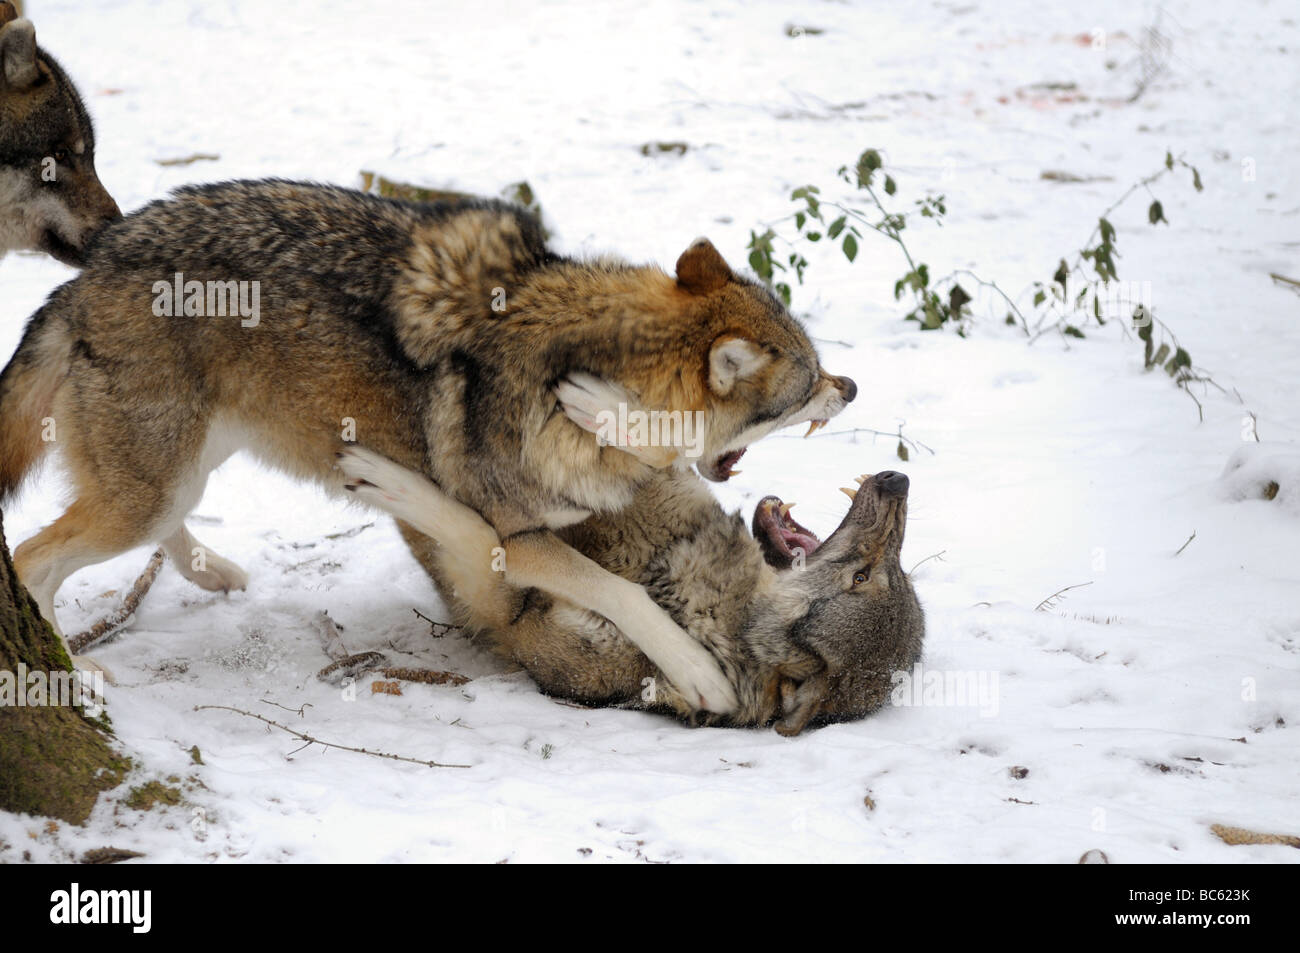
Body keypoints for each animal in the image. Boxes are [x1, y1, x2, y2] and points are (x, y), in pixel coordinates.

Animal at [0, 180, 856, 711]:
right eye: (809, 382)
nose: (850, 388)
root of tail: (81, 277)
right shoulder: (521, 540)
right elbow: (626, 594)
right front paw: (701, 676)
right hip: (149, 493)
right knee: (30, 557)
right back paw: (73, 672)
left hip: (185, 472)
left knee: (146, 528)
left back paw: (217, 573)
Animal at [338, 446, 924, 735]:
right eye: (896, 574)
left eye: (863, 577)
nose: (900, 481)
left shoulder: (509, 611)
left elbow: (473, 532)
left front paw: (383, 479)